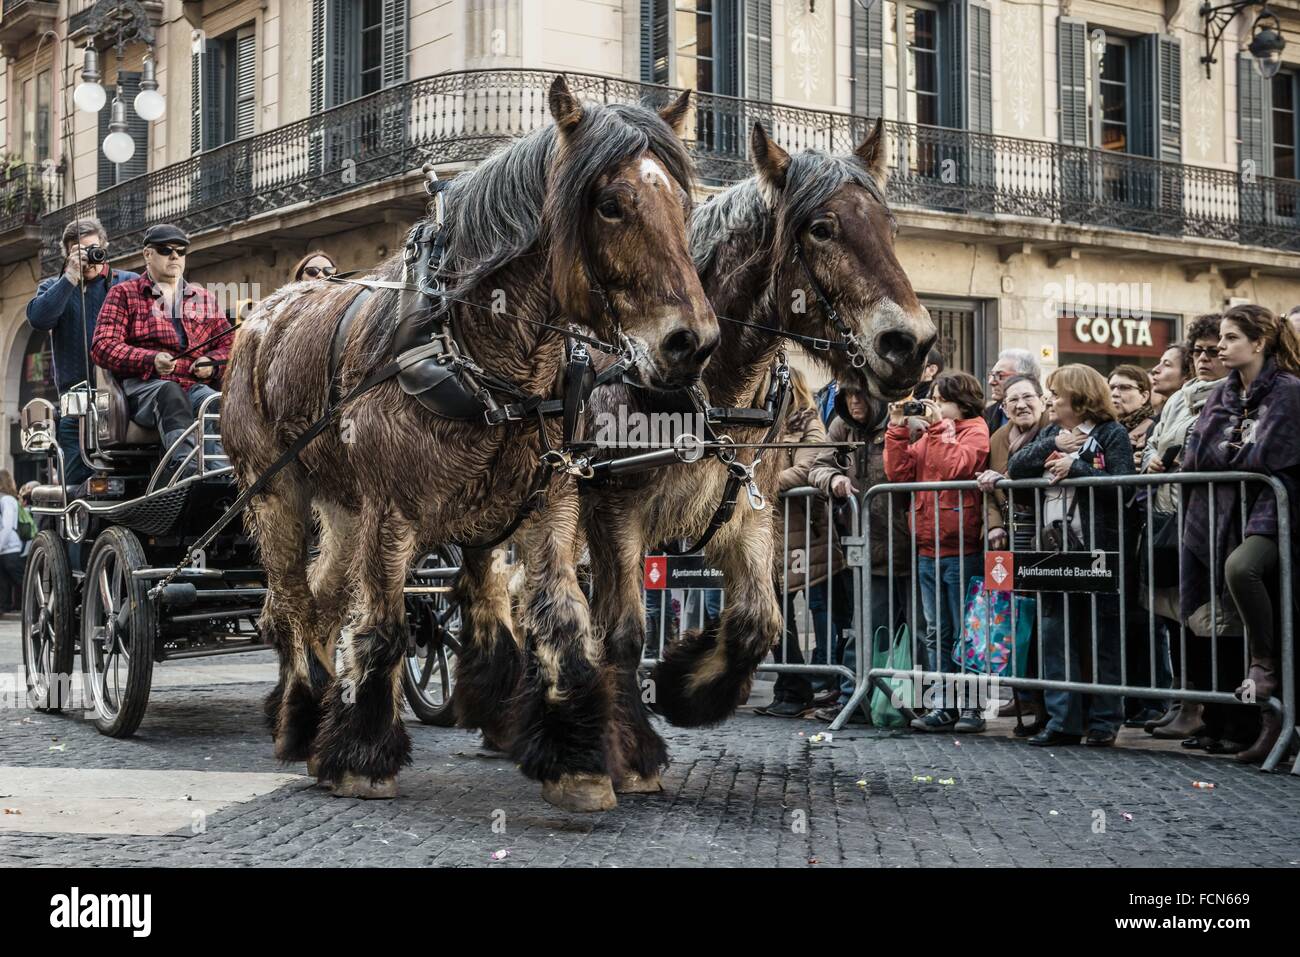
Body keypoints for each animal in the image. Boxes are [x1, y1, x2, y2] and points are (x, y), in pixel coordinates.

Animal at [222, 76, 717, 811]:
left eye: (683, 206)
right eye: (610, 205)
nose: (692, 343)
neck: (481, 363)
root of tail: (262, 314)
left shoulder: (551, 505)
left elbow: (564, 622)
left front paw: (578, 758)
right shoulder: (392, 513)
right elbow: (388, 628)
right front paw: (362, 756)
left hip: (341, 508)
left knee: (323, 598)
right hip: (275, 493)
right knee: (290, 602)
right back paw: (303, 718)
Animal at [577, 120, 937, 792]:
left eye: (890, 226)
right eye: (821, 228)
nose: (912, 343)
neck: (704, 389)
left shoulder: (749, 513)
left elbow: (759, 623)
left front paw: (686, 683)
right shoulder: (612, 513)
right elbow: (624, 632)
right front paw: (631, 750)